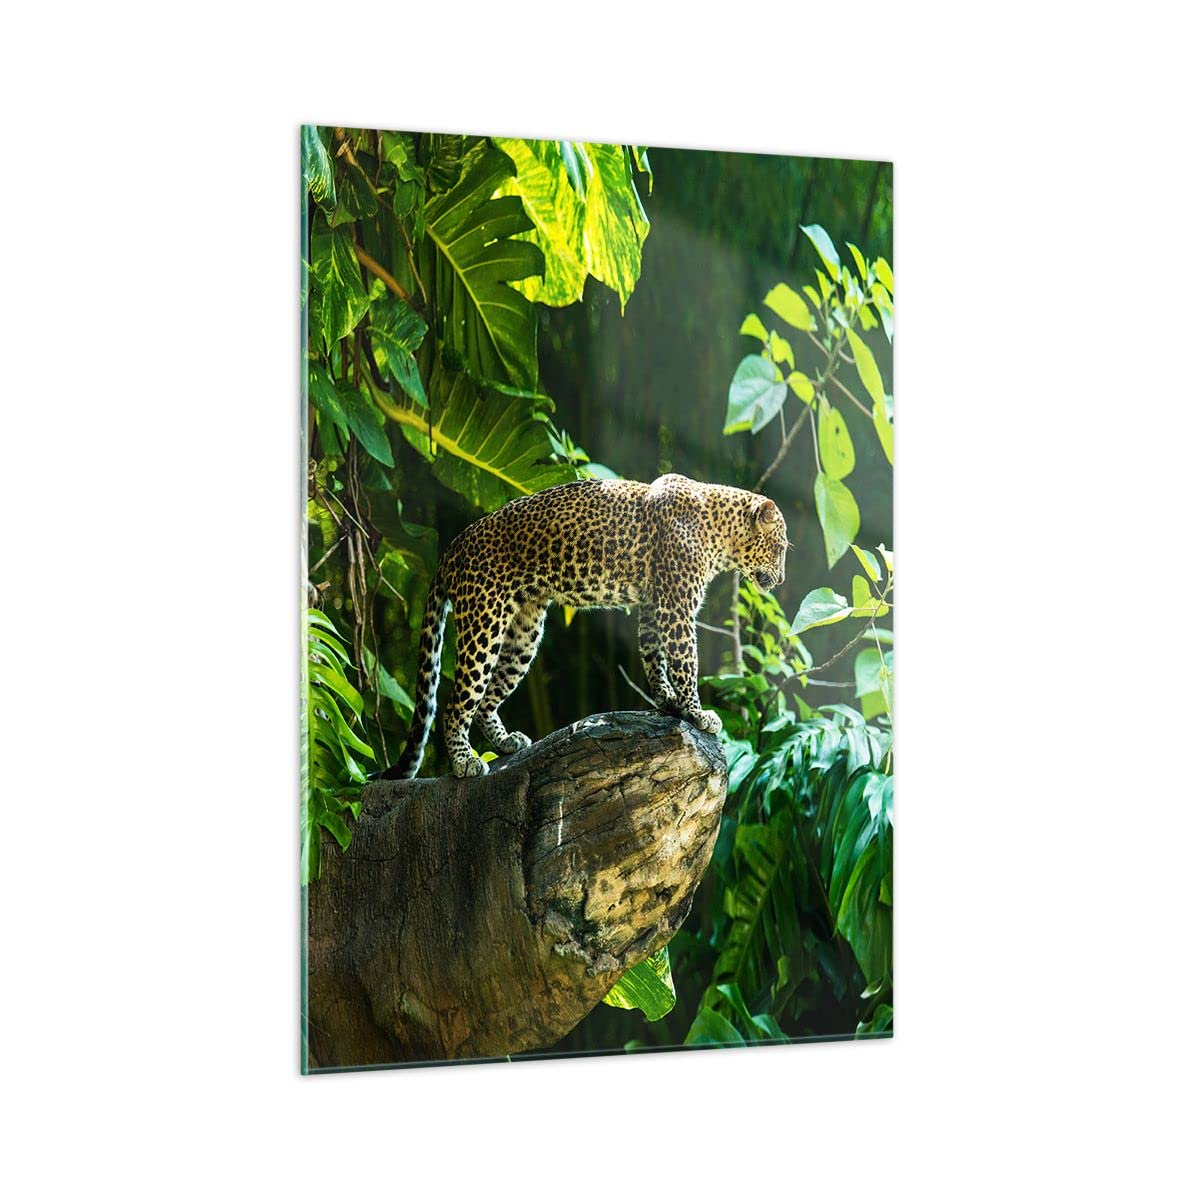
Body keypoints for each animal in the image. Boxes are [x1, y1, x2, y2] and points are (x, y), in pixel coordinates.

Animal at [380, 472, 789, 780]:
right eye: (781, 547)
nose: (782, 579)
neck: (721, 531)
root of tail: (453, 546)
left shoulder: (652, 605)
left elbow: (653, 656)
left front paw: (668, 703)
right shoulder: (676, 608)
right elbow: (685, 661)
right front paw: (698, 713)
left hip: (524, 632)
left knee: (486, 699)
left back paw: (506, 742)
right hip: (484, 621)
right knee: (456, 703)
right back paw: (465, 762)